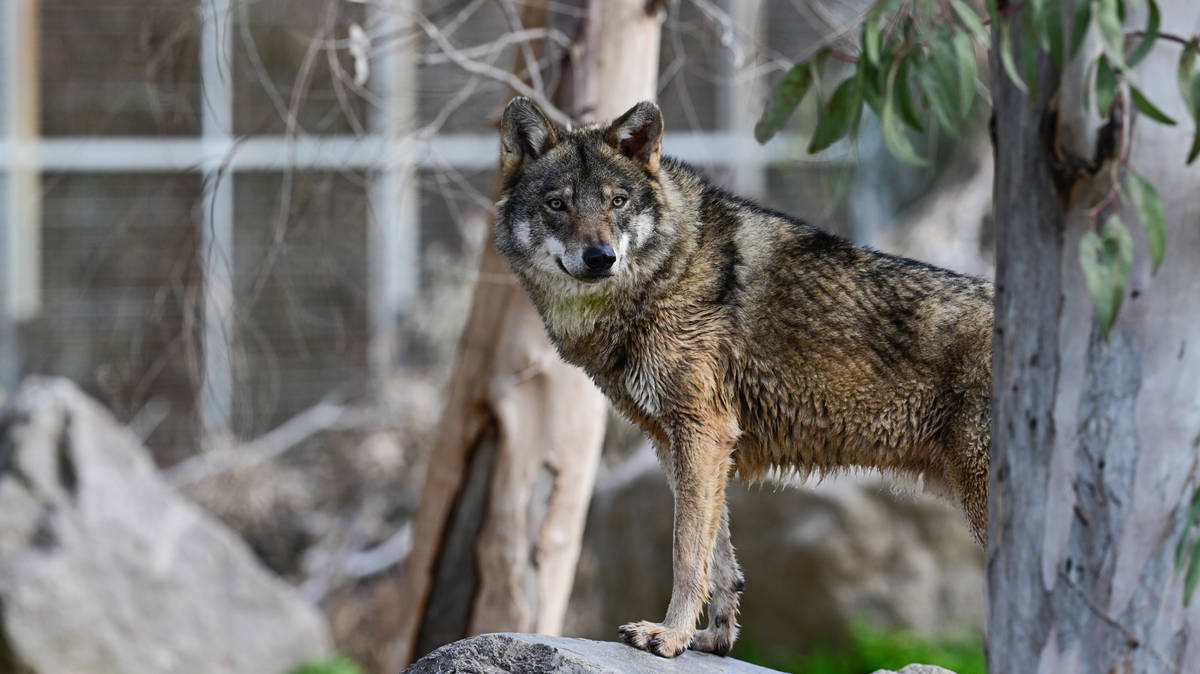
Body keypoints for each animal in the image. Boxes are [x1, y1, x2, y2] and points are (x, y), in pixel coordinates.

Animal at [494, 97, 993, 658]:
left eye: (617, 201)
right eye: (557, 204)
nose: (601, 257)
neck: (672, 269)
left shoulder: (702, 433)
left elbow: (686, 552)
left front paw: (669, 636)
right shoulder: (681, 442)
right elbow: (720, 560)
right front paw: (712, 638)